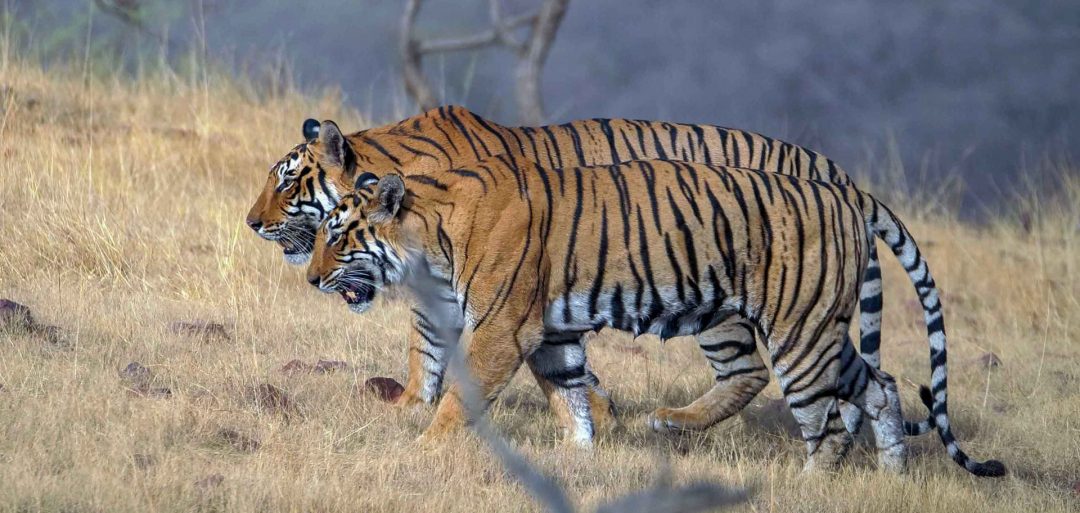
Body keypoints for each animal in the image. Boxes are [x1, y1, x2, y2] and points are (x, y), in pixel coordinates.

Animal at [245, 106, 900, 436]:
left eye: (288, 181)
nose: (251, 222)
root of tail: (837, 175)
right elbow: (428, 352)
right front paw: (408, 406)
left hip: (723, 301)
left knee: (755, 372)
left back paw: (674, 421)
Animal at [305, 155, 1006, 477]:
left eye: (337, 236)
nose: (309, 278)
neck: (434, 233)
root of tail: (848, 191)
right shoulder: (551, 332)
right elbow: (569, 392)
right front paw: (580, 453)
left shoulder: (502, 328)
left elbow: (460, 394)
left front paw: (423, 450)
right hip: (782, 324)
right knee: (878, 386)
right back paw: (889, 475)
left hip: (797, 335)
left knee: (825, 417)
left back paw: (810, 484)